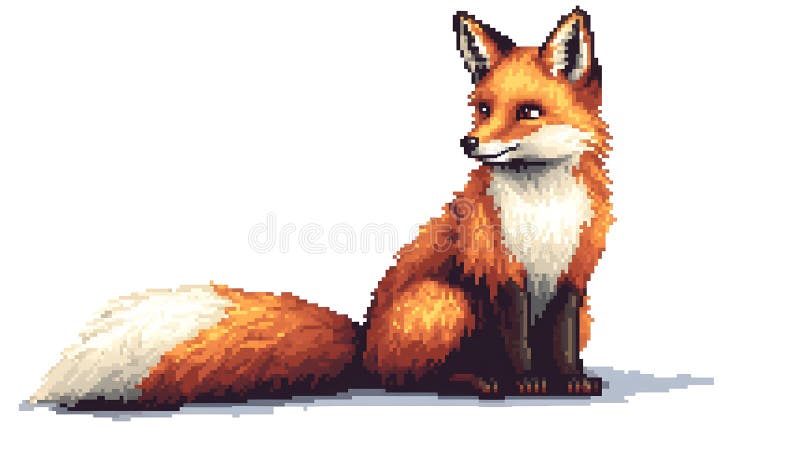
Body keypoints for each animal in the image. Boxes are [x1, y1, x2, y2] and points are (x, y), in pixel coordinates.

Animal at [30, 7, 613, 410]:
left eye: (529, 112)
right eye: (484, 108)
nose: (469, 143)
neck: (543, 211)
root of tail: (363, 343)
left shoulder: (573, 278)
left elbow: (561, 343)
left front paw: (567, 381)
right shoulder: (497, 274)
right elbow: (516, 345)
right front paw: (526, 382)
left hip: (578, 312)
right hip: (443, 301)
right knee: (409, 379)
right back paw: (474, 381)